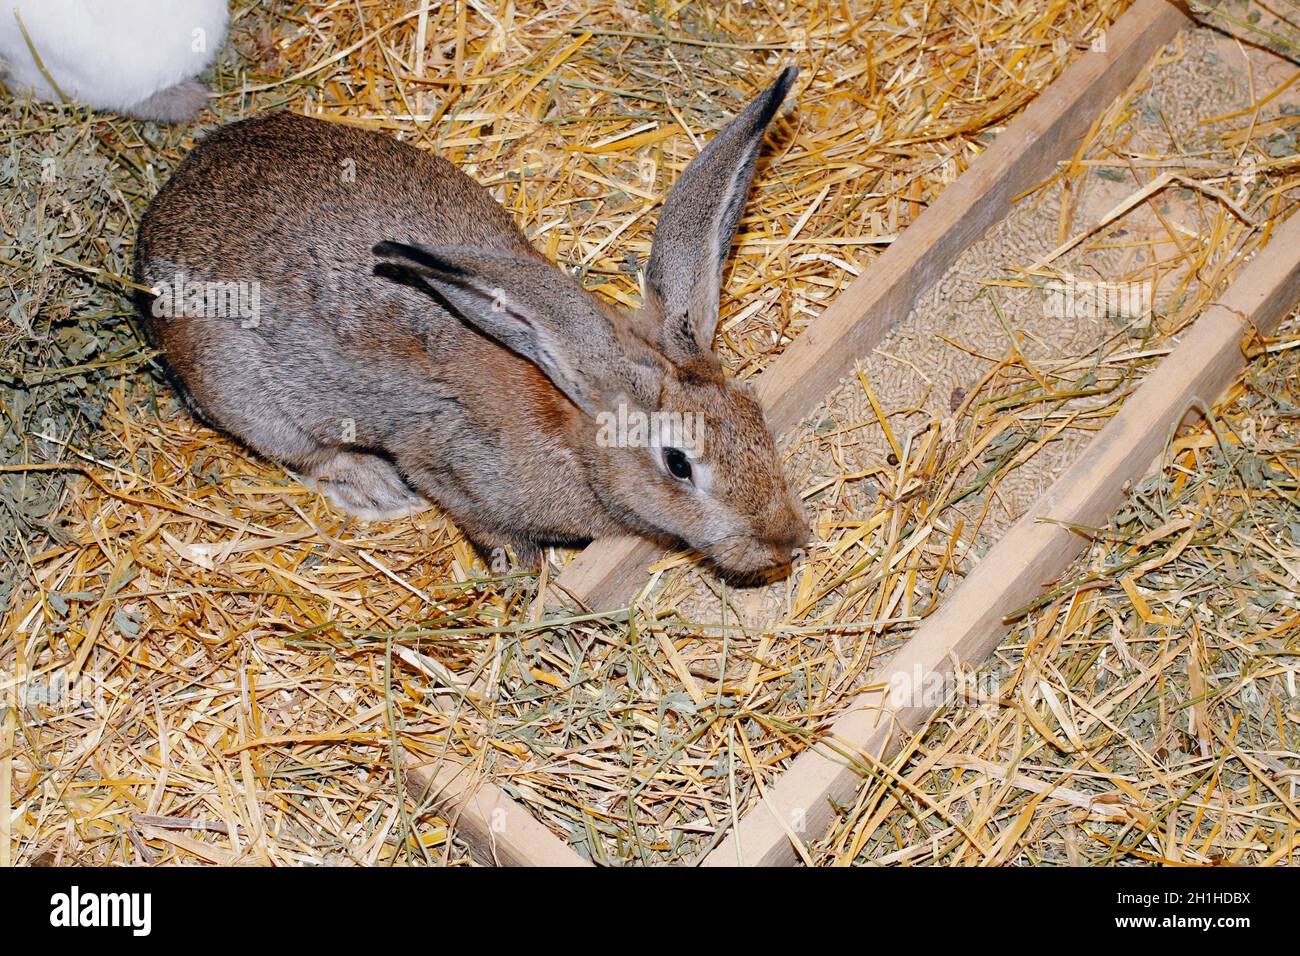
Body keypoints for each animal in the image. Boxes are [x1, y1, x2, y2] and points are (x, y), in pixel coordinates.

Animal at [136, 66, 809, 578]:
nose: (786, 543)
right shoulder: (447, 470)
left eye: (753, 410)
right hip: (246, 393)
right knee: (305, 454)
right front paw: (528, 578)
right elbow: (494, 534)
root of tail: (158, 219)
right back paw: (375, 487)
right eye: (677, 464)